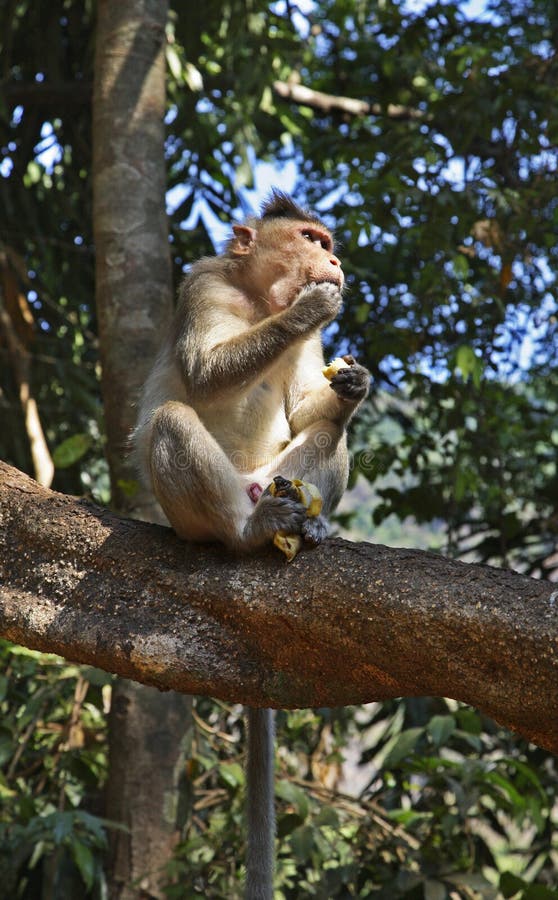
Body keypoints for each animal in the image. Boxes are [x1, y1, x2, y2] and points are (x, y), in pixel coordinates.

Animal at [134, 190, 369, 899]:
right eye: (310, 238)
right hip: (199, 513)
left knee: (327, 437)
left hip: (279, 477)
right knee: (173, 420)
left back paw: (308, 526)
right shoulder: (203, 284)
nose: (335, 262)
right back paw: (248, 534)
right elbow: (206, 374)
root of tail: (253, 491)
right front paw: (313, 304)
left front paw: (356, 385)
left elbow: (310, 411)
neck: (261, 299)